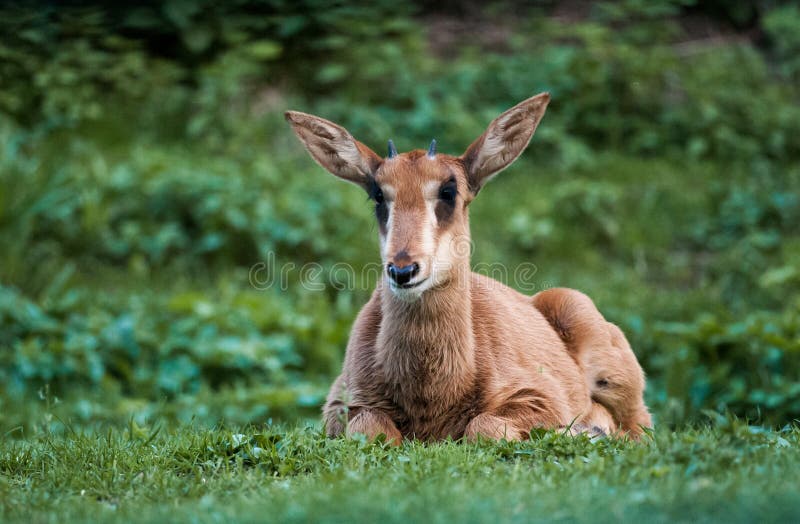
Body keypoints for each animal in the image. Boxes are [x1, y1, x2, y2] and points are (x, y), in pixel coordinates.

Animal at [285, 93, 652, 443]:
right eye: (378, 195)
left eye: (449, 190)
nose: (403, 270)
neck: (430, 393)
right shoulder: (342, 404)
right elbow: (371, 427)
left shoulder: (541, 397)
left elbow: (484, 427)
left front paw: (578, 431)